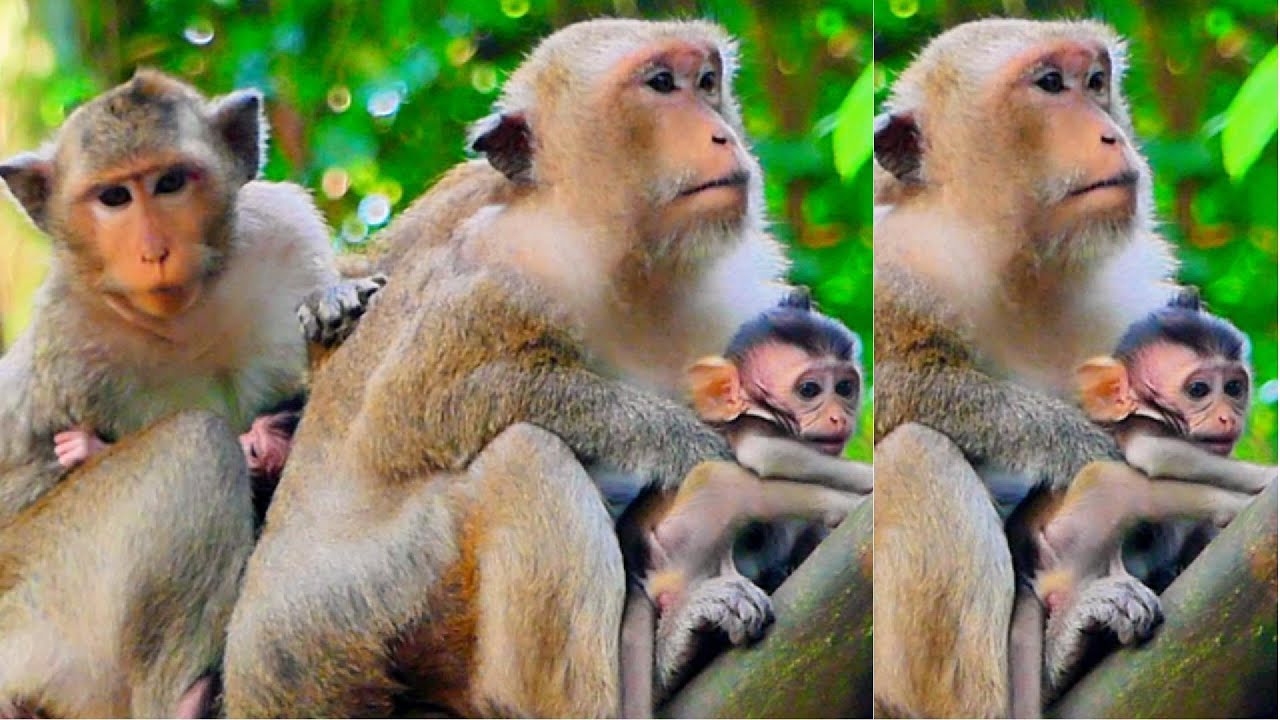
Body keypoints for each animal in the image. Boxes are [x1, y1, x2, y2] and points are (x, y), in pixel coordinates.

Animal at [0, 70, 352, 717]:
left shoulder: (283, 232)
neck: (188, 319)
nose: (154, 250)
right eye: (114, 197)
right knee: (195, 444)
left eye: (169, 183)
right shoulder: (67, 338)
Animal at [222, 19, 797, 718]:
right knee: (525, 456)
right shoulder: (504, 270)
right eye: (661, 84)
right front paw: (686, 444)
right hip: (361, 613)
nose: (723, 135)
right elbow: (412, 413)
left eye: (707, 82)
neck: (623, 256)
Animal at [870, 19, 1185, 717]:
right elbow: (896, 393)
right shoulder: (898, 271)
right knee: (913, 458)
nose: (1110, 133)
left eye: (1095, 82)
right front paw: (1082, 446)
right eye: (1049, 84)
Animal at [1002, 290, 1274, 715]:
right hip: (1064, 543)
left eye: (1234, 387)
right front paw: (1266, 480)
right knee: (1115, 481)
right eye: (1199, 390)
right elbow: (1155, 454)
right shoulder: (1141, 425)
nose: (1227, 417)